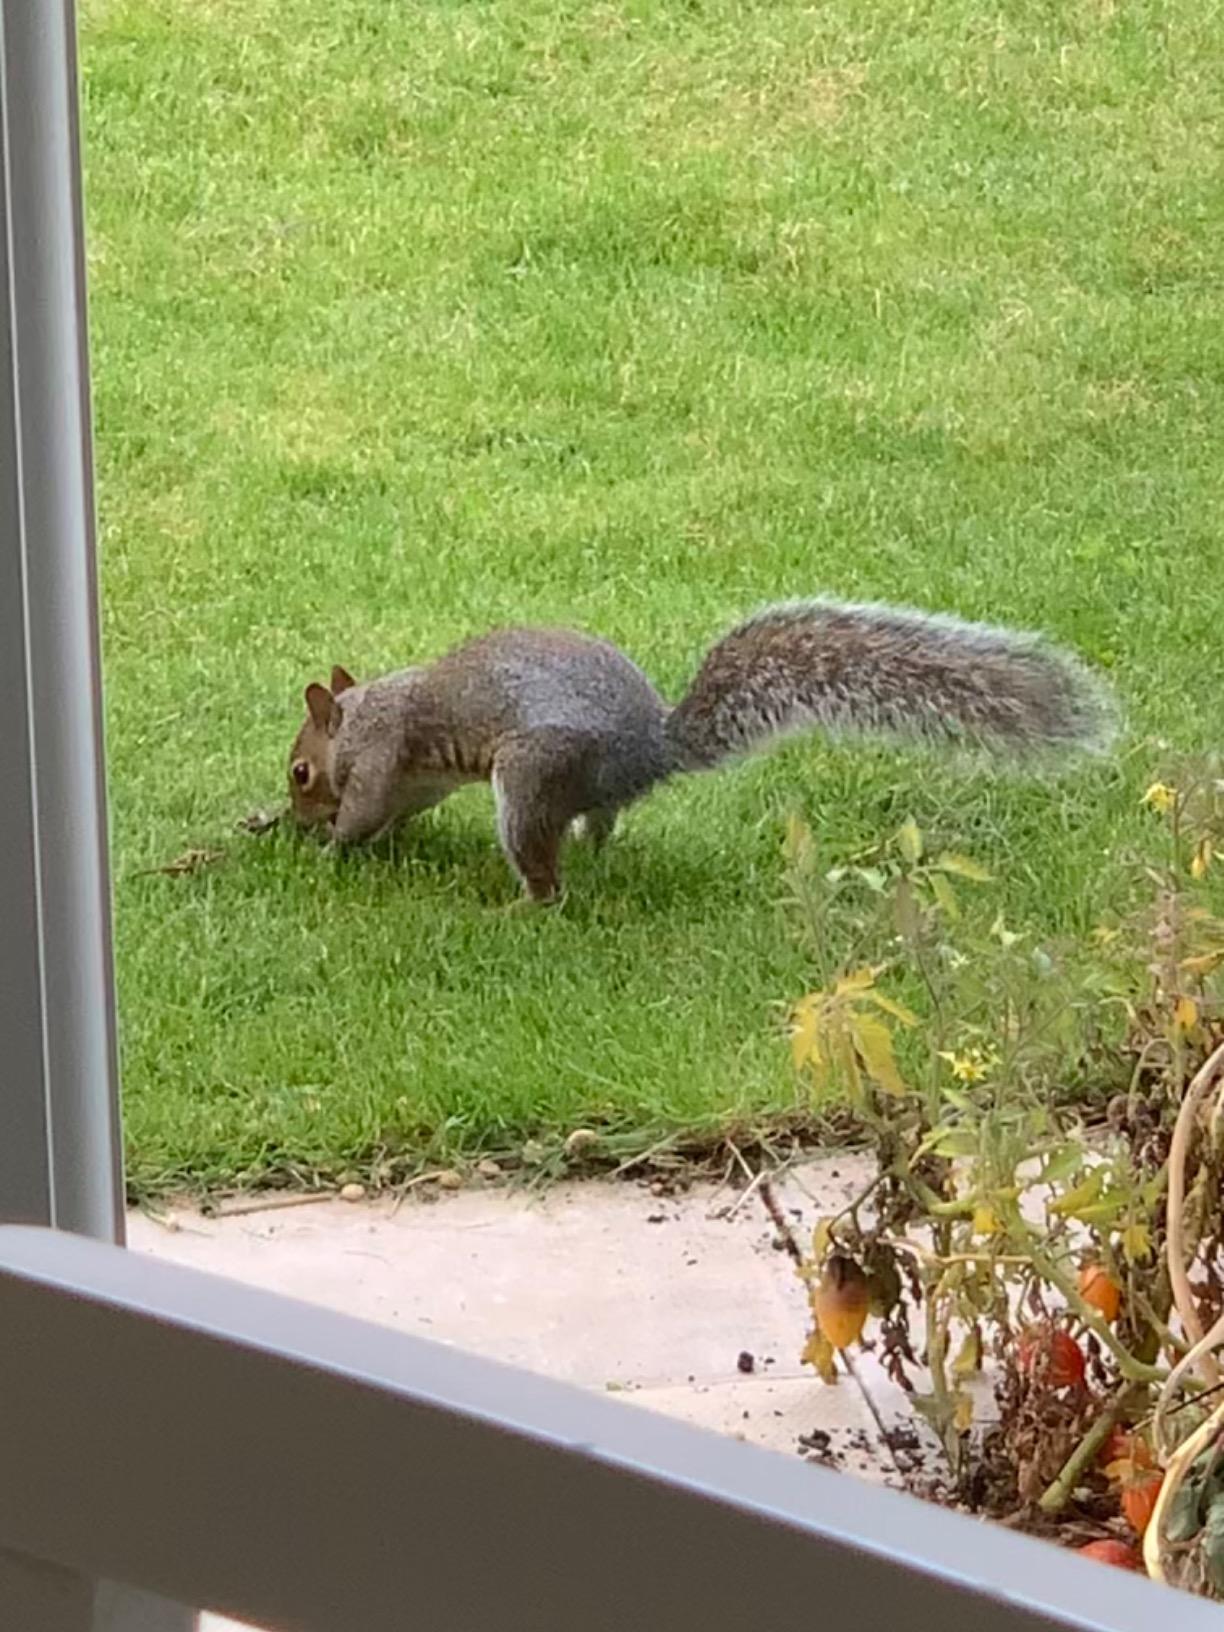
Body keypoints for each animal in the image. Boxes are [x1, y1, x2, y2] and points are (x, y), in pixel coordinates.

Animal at [287, 599, 1118, 903]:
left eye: (299, 771)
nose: (295, 814)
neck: (367, 709)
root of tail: (650, 750)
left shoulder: (380, 752)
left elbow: (364, 808)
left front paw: (329, 846)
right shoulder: (411, 777)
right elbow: (393, 811)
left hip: (527, 775)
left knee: (545, 869)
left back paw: (521, 904)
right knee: (601, 823)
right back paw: (595, 853)